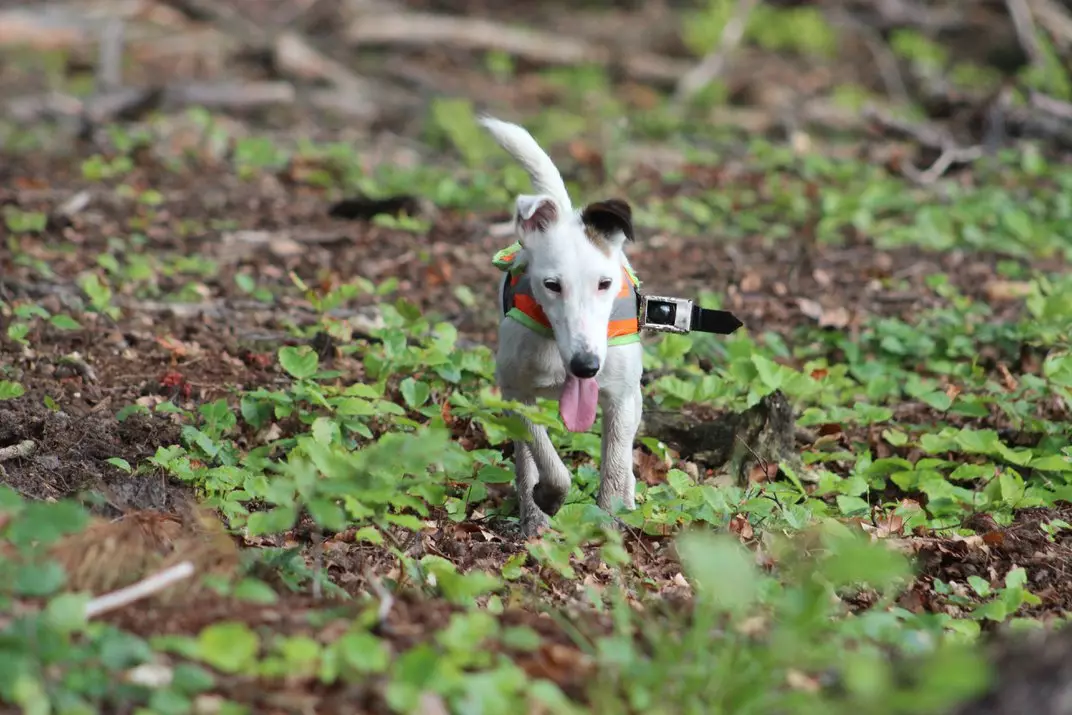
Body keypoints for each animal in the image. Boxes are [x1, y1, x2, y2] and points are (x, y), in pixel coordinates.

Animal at [480, 116, 643, 535]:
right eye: (552, 285)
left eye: (605, 283)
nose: (585, 366)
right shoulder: (515, 392)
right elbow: (549, 462)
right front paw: (549, 497)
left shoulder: (620, 399)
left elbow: (614, 467)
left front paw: (608, 526)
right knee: (525, 461)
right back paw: (532, 516)